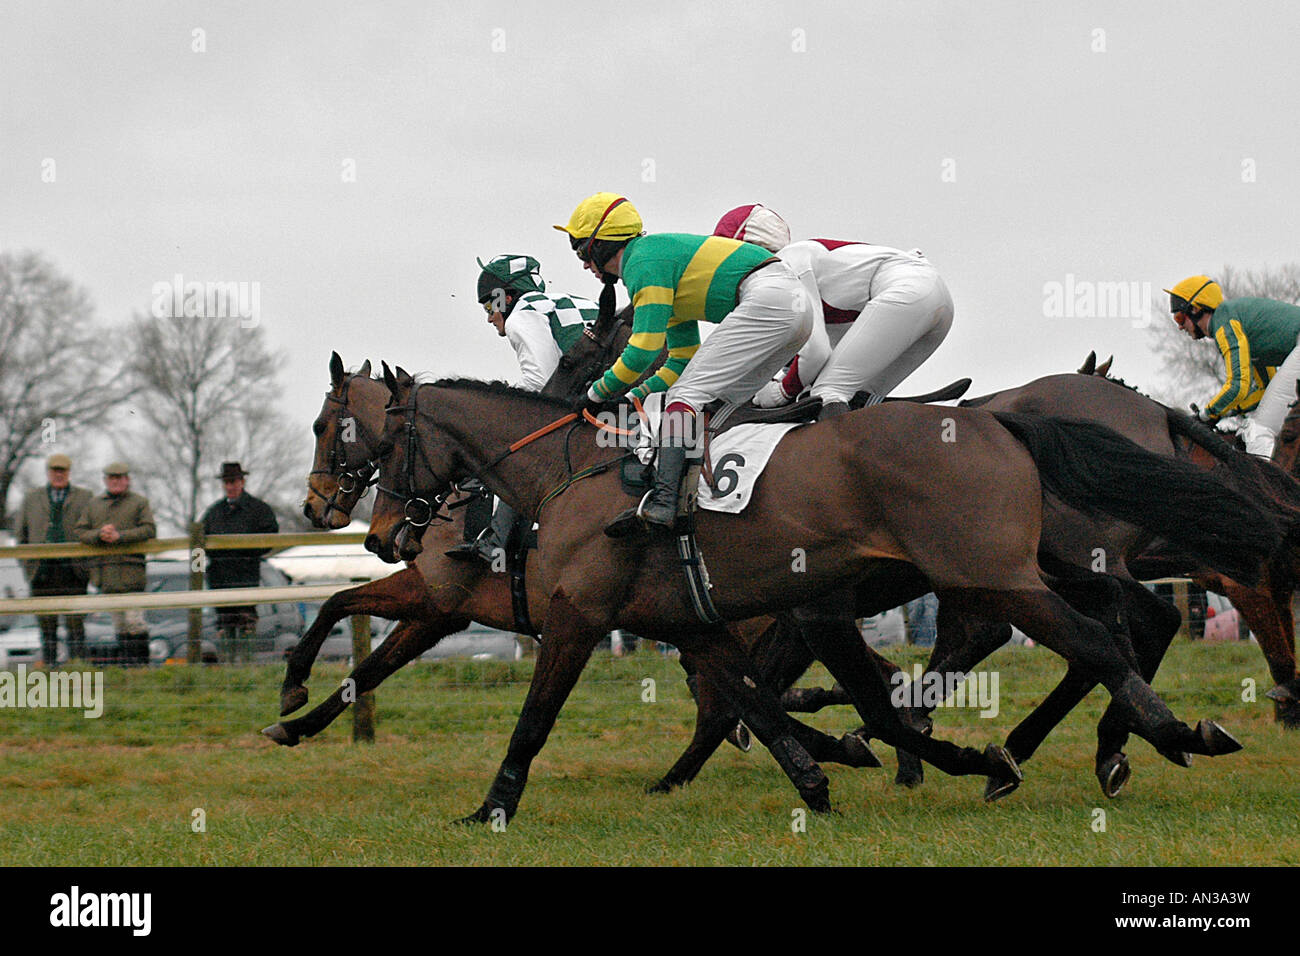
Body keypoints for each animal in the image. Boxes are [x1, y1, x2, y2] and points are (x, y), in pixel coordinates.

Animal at [364, 366, 1284, 822]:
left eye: (367, 438)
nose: (386, 537)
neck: (573, 475)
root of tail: (997, 419)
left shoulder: (581, 614)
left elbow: (538, 716)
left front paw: (492, 807)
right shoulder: (692, 622)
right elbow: (757, 704)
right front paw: (820, 774)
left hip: (994, 574)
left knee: (1096, 641)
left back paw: (1157, 735)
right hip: (1030, 565)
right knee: (1131, 621)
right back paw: (1083, 744)